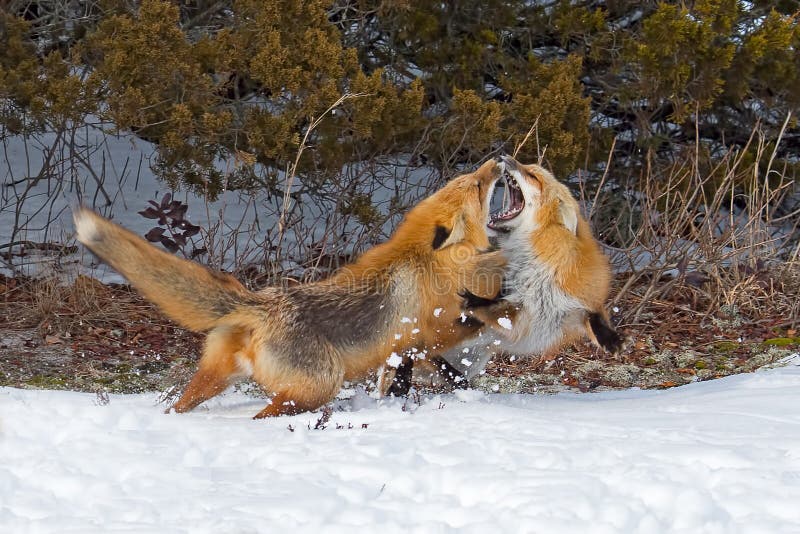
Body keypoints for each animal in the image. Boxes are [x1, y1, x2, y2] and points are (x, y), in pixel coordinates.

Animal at [73, 160, 505, 417]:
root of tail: (261, 303)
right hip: (318, 385)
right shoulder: (433, 328)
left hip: (215, 377)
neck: (423, 258)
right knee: (263, 415)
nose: (499, 159)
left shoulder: (408, 347)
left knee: (181, 405)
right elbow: (465, 335)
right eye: (478, 186)